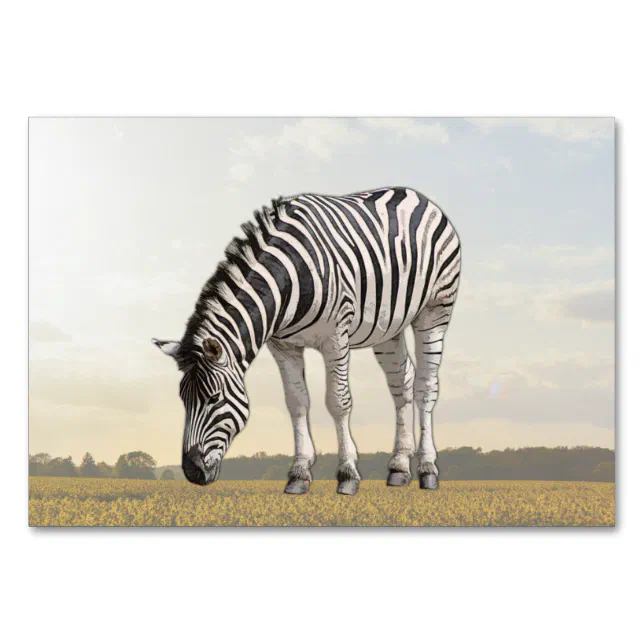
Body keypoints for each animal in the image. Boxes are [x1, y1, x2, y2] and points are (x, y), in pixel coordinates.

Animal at [153, 186, 461, 495]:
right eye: (183, 399)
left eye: (214, 398)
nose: (192, 472)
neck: (287, 279)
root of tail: (413, 193)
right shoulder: (283, 345)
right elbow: (296, 402)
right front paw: (299, 473)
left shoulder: (336, 337)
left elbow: (338, 402)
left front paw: (348, 473)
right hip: (388, 327)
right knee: (402, 383)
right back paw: (399, 467)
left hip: (436, 308)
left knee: (426, 386)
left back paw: (427, 469)